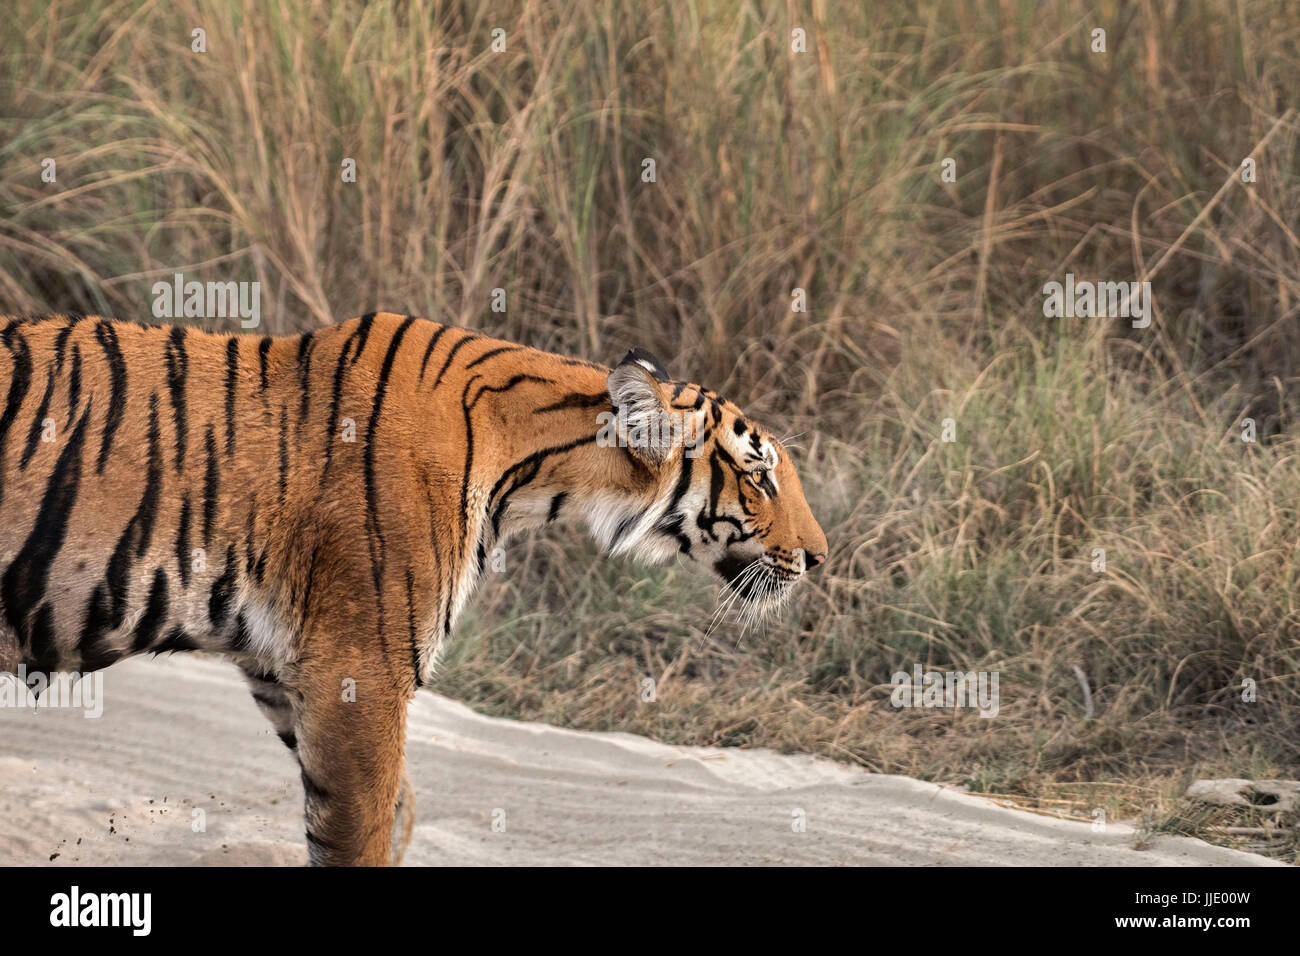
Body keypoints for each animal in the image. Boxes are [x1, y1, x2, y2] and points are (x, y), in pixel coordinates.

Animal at [0, 311, 828, 865]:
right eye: (759, 476)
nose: (820, 558)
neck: (533, 473)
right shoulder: (357, 673)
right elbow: (365, 829)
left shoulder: (284, 670)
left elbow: (399, 811)